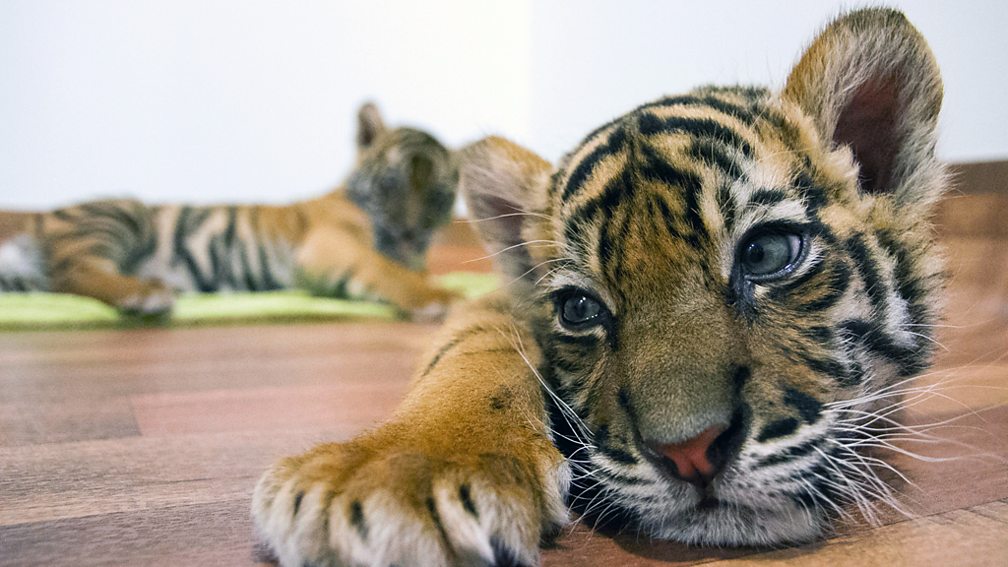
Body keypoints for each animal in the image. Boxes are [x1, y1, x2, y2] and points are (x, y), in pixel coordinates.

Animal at [0, 103, 460, 320]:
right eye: (391, 184)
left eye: (438, 196)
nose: (410, 234)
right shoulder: (330, 244)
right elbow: (385, 269)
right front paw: (440, 298)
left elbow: (410, 269)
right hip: (124, 212)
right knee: (69, 270)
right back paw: (145, 293)